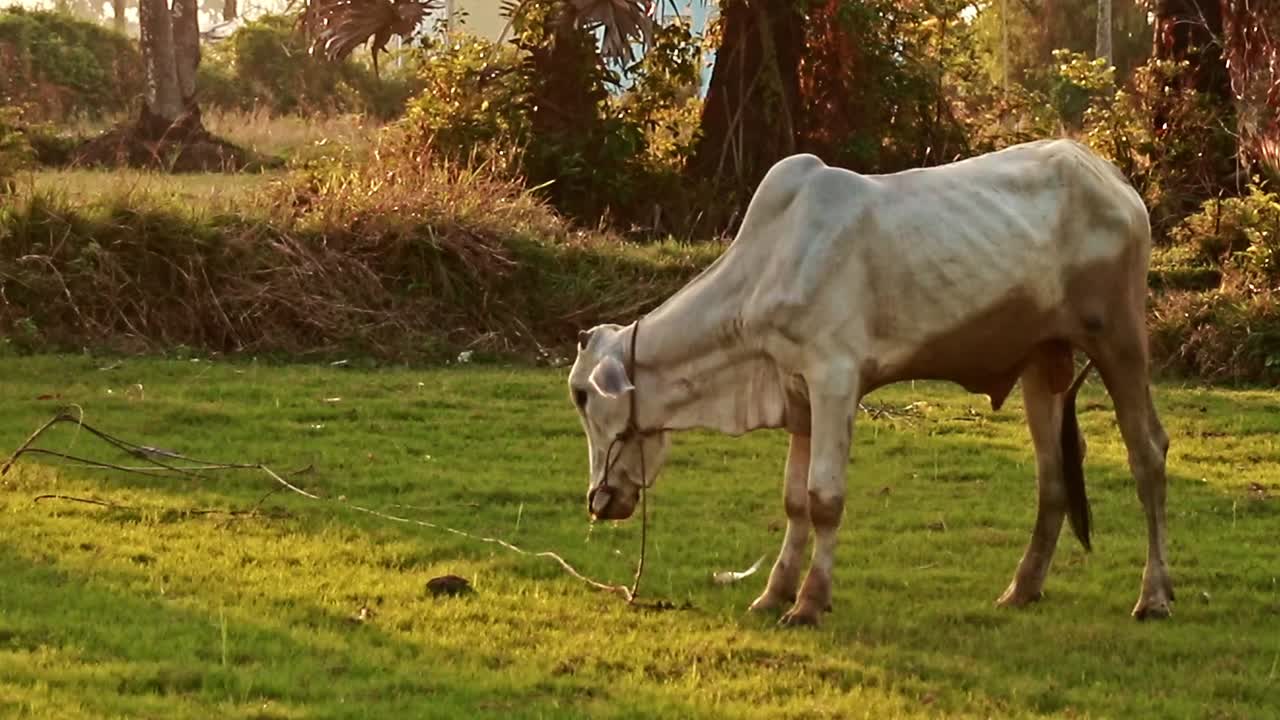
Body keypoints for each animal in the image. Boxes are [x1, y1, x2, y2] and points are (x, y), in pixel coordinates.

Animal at [567, 139, 1171, 626]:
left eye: (582, 397)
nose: (599, 501)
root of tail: (1110, 176)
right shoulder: (797, 393)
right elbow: (794, 501)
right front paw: (772, 595)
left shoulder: (834, 378)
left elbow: (824, 499)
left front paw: (809, 603)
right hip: (1042, 361)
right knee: (1053, 476)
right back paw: (1022, 589)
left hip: (1120, 339)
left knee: (1148, 454)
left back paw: (1154, 596)